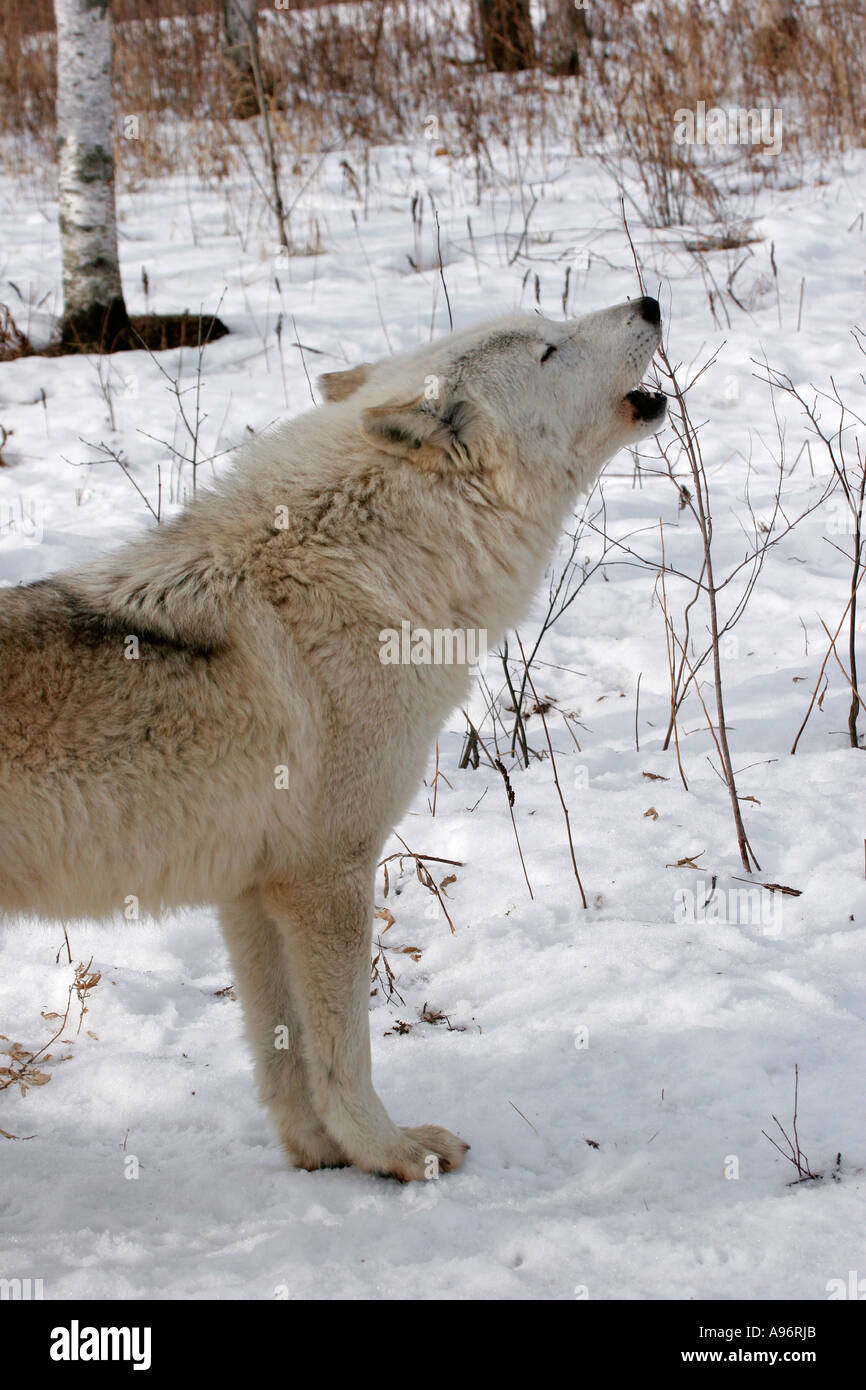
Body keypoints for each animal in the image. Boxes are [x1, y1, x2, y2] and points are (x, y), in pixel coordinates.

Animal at [0, 298, 666, 1179]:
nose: (650, 303)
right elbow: (346, 1051)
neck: (362, 570)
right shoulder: (327, 875)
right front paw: (390, 1154)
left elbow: (284, 1053)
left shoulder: (253, 891)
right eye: (549, 349)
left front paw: (321, 1155)